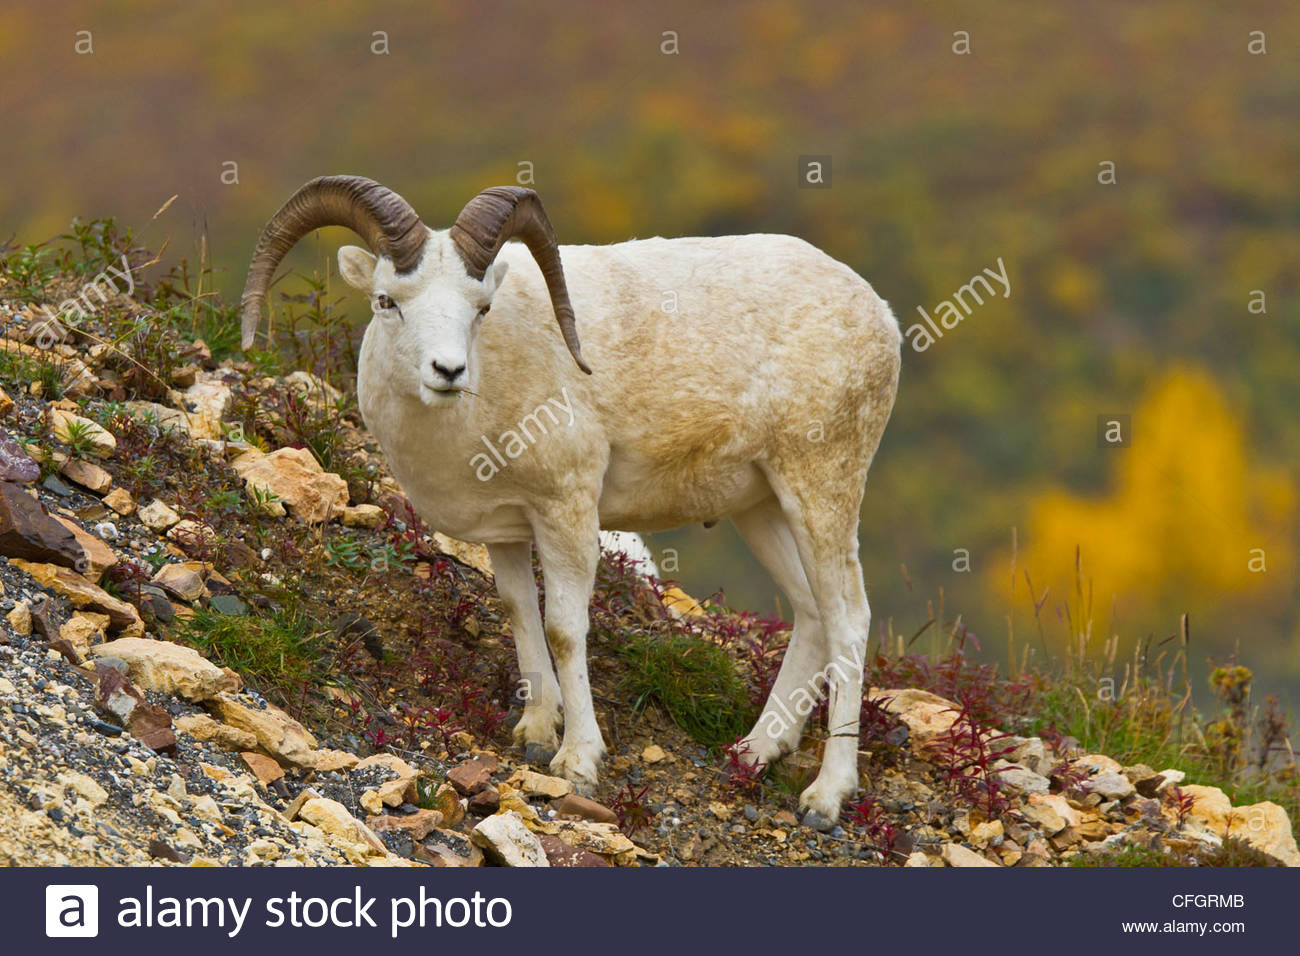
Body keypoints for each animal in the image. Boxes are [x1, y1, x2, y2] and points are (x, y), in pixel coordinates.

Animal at [239, 176, 901, 826]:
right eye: (387, 301)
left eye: (481, 308)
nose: (447, 372)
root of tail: (881, 316)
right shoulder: (509, 530)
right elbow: (518, 610)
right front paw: (535, 731)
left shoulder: (568, 510)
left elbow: (563, 628)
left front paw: (577, 760)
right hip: (761, 509)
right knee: (811, 613)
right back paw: (753, 752)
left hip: (820, 487)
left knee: (848, 618)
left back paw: (825, 798)